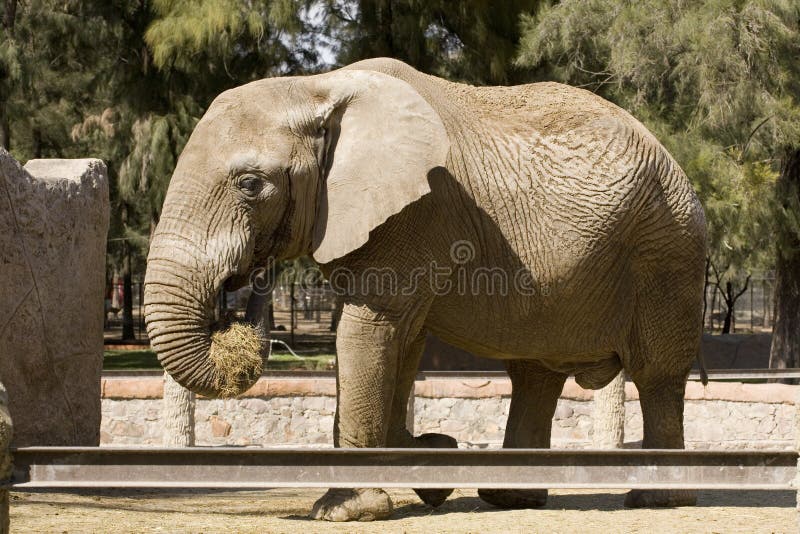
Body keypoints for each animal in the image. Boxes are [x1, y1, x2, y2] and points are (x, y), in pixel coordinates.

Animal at [143, 57, 706, 521]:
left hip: (665, 250)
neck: (317, 87)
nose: (252, 282)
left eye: (250, 185)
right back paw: (510, 497)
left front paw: (346, 511)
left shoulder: (418, 211)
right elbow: (402, 343)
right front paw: (431, 466)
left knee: (655, 371)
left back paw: (656, 499)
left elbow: (367, 331)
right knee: (534, 372)